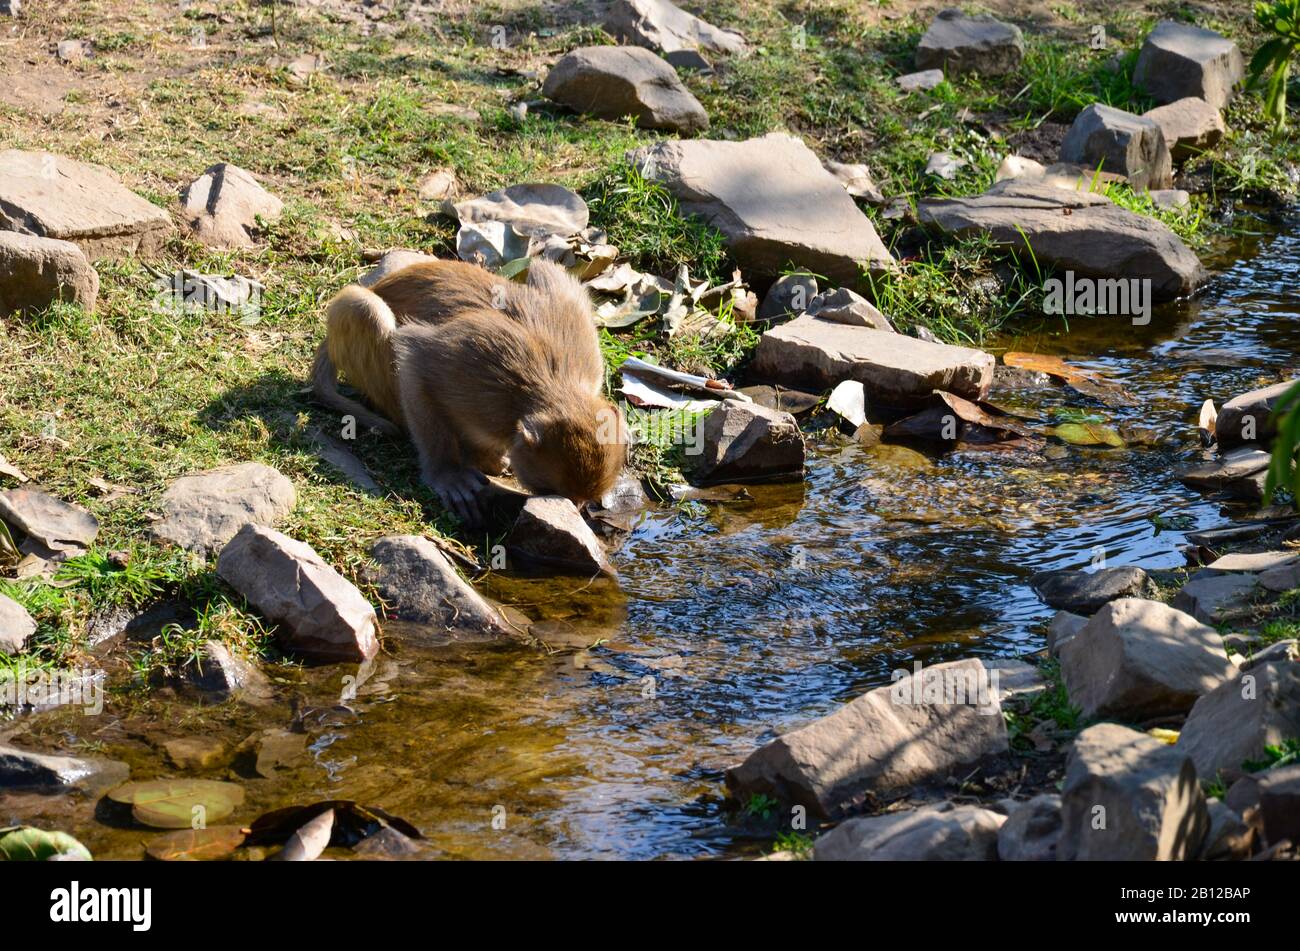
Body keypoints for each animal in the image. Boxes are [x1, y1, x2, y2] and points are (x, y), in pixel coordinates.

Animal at [312, 257, 627, 526]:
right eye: (556, 493)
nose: (579, 509)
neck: (552, 384)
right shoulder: (473, 379)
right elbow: (415, 355)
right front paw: (448, 473)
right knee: (365, 309)